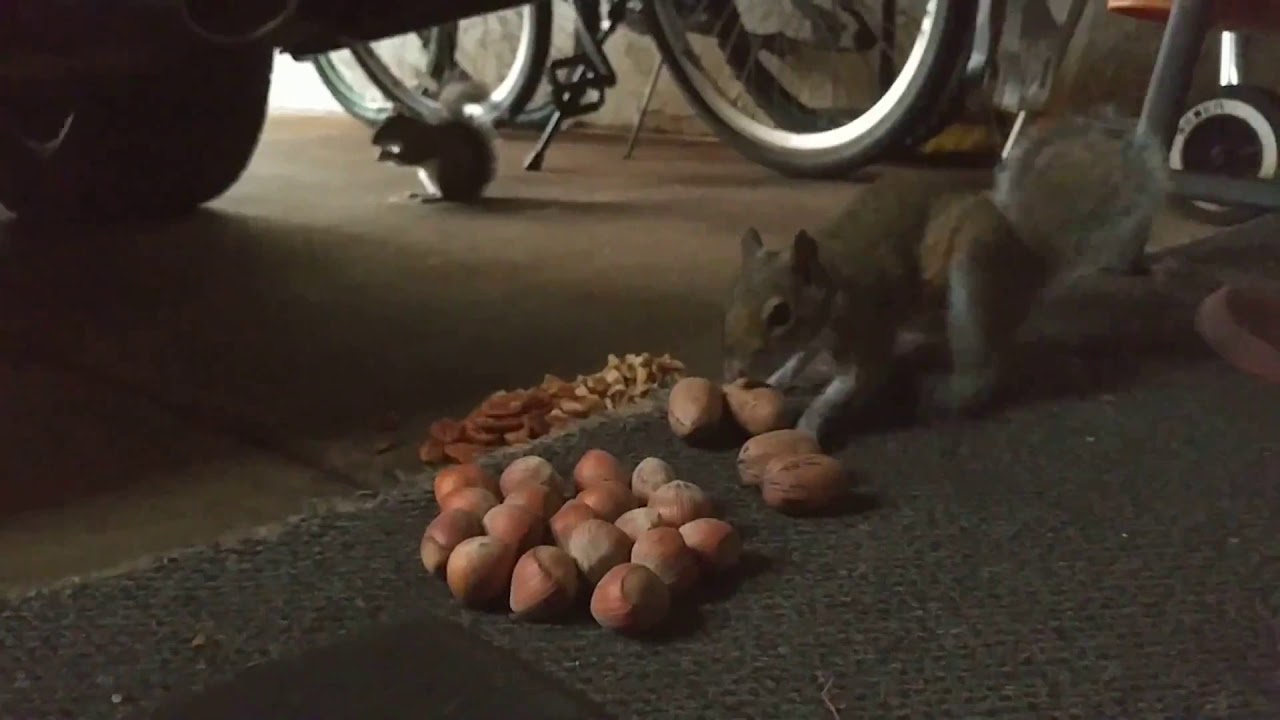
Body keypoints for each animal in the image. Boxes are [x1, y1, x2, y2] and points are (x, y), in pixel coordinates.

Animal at [721, 113, 1170, 443]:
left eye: (781, 314)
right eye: (733, 296)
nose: (736, 370)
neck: (833, 282)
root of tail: (1029, 265)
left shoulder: (867, 327)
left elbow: (854, 380)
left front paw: (810, 426)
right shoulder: (821, 338)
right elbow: (800, 358)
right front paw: (778, 379)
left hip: (974, 278)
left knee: (983, 367)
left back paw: (949, 396)